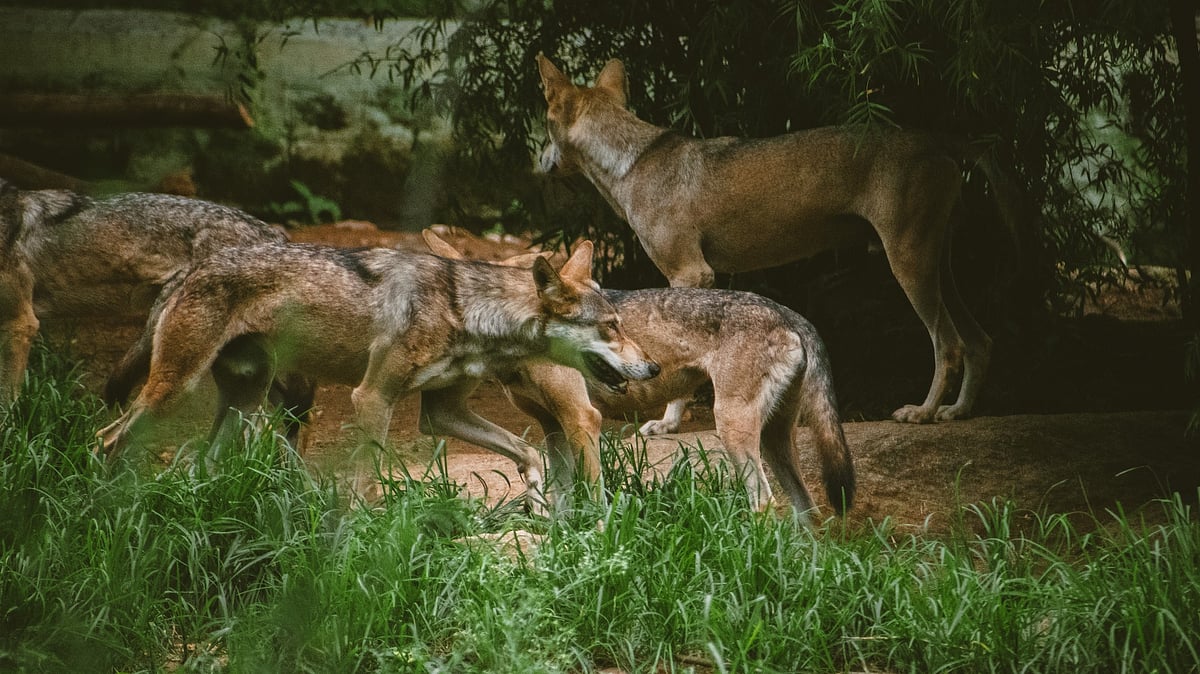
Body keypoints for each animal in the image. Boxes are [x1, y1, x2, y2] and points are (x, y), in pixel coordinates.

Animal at [96, 240, 660, 510]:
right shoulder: (371, 397)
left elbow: (528, 451)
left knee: (200, 464)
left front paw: (539, 497)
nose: (652, 366)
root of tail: (188, 270)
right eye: (611, 327)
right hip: (178, 390)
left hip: (243, 402)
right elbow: (365, 481)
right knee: (108, 438)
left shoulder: (442, 412)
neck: (466, 308)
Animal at [423, 230, 855, 522]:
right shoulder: (553, 426)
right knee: (807, 511)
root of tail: (789, 313)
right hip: (773, 441)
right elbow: (561, 500)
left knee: (764, 503)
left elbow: (592, 496)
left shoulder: (582, 418)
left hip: (733, 429)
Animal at [536, 54, 1005, 425]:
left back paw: (923, 412)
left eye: (544, 126)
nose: (538, 160)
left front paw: (667, 423)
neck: (631, 162)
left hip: (909, 267)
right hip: (936, 269)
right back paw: (958, 412)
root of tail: (935, 137)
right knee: (980, 341)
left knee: (950, 345)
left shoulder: (690, 274)